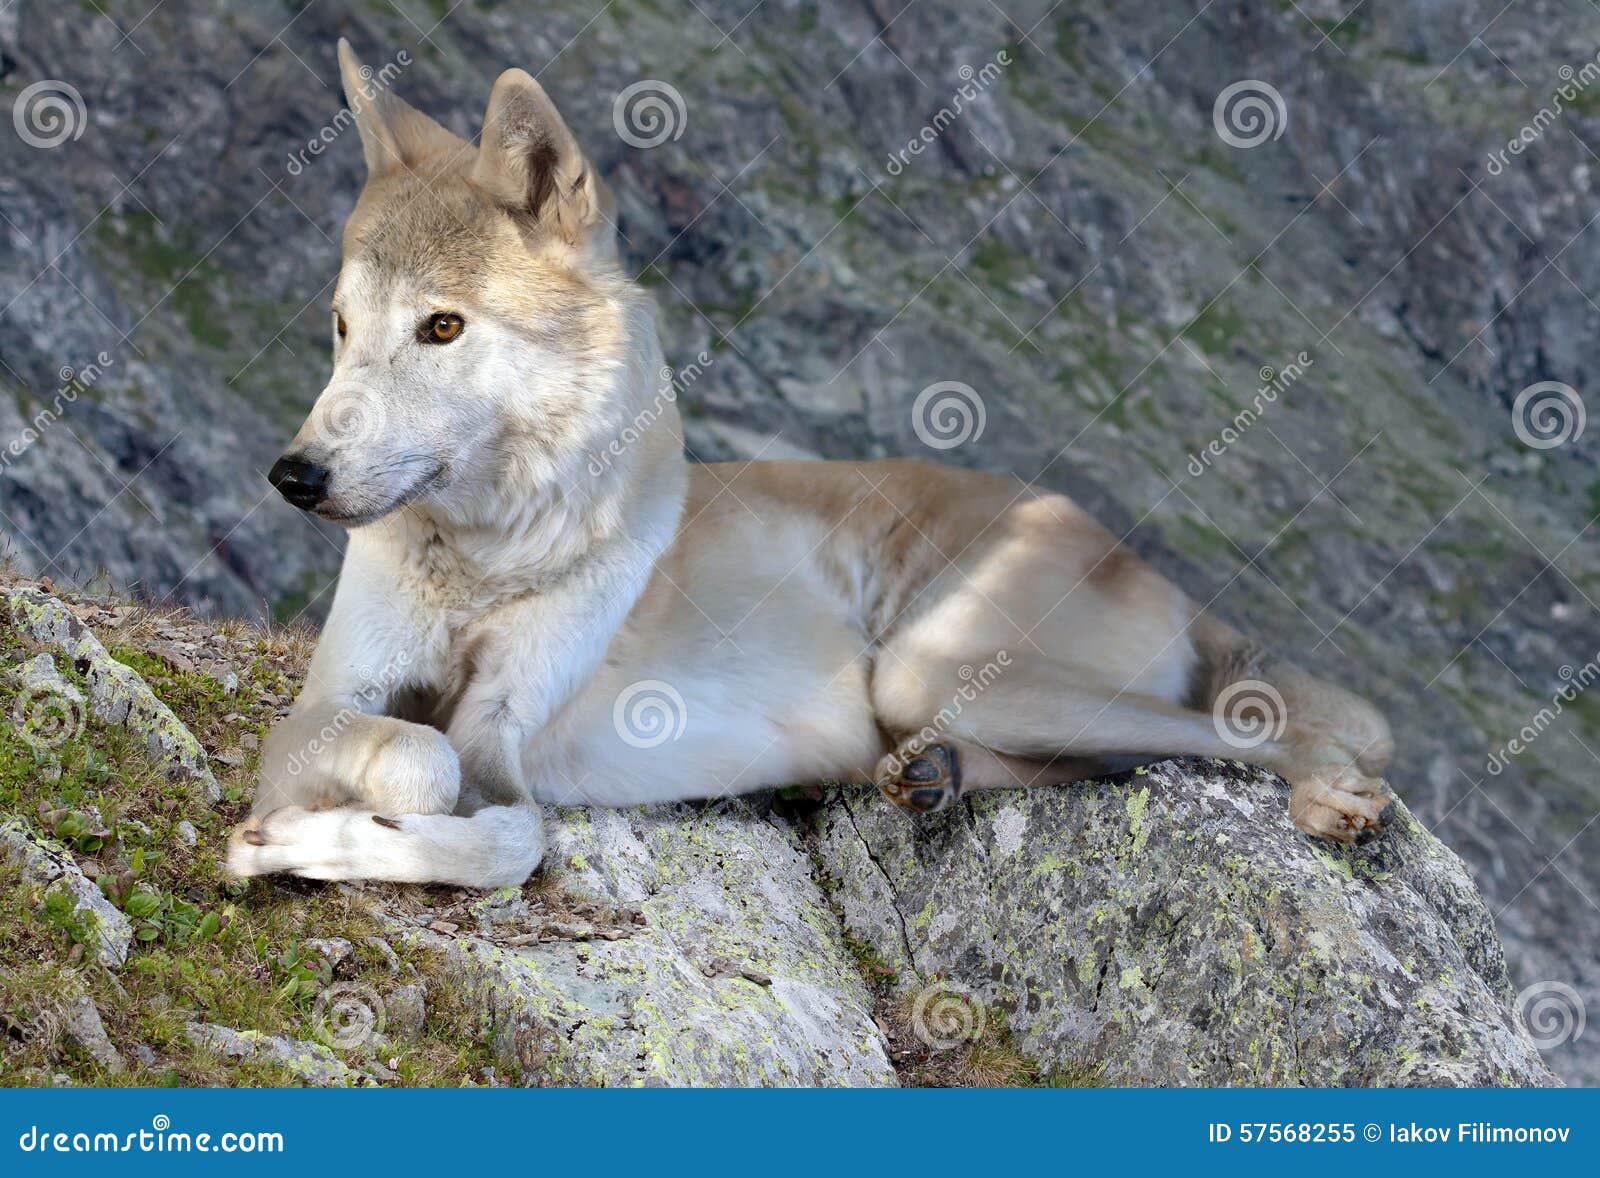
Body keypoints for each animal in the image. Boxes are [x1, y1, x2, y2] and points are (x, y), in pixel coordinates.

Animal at [227, 42, 1394, 887]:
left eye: (441, 327)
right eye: (340, 327)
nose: (294, 475)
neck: (494, 555)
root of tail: (1136, 555)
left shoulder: (502, 737)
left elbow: (497, 825)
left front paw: (305, 843)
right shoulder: (333, 694)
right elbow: (417, 754)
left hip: (931, 662)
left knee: (1254, 729)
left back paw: (1332, 797)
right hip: (935, 690)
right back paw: (933, 775)